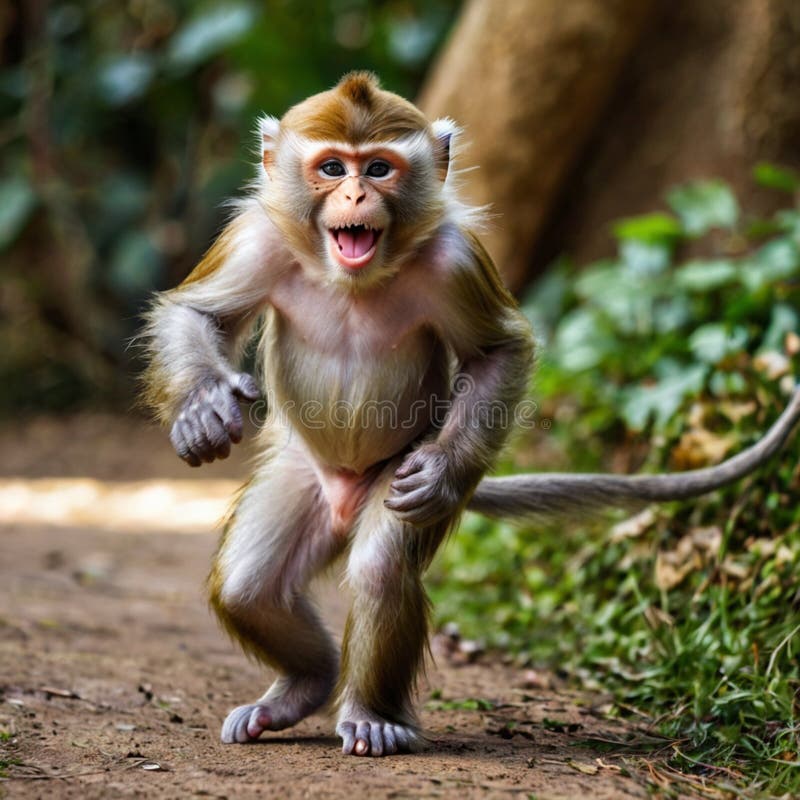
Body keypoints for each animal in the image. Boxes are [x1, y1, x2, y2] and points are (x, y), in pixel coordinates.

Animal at [142, 72, 800, 758]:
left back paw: (367, 712)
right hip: (301, 476)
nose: (355, 193)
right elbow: (197, 314)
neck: (353, 276)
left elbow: (497, 351)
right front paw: (201, 410)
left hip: (391, 473)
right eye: (331, 168)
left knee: (380, 568)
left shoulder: (456, 259)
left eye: (379, 168)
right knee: (248, 586)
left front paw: (444, 473)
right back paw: (304, 683)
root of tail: (345, 497)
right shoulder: (257, 239)